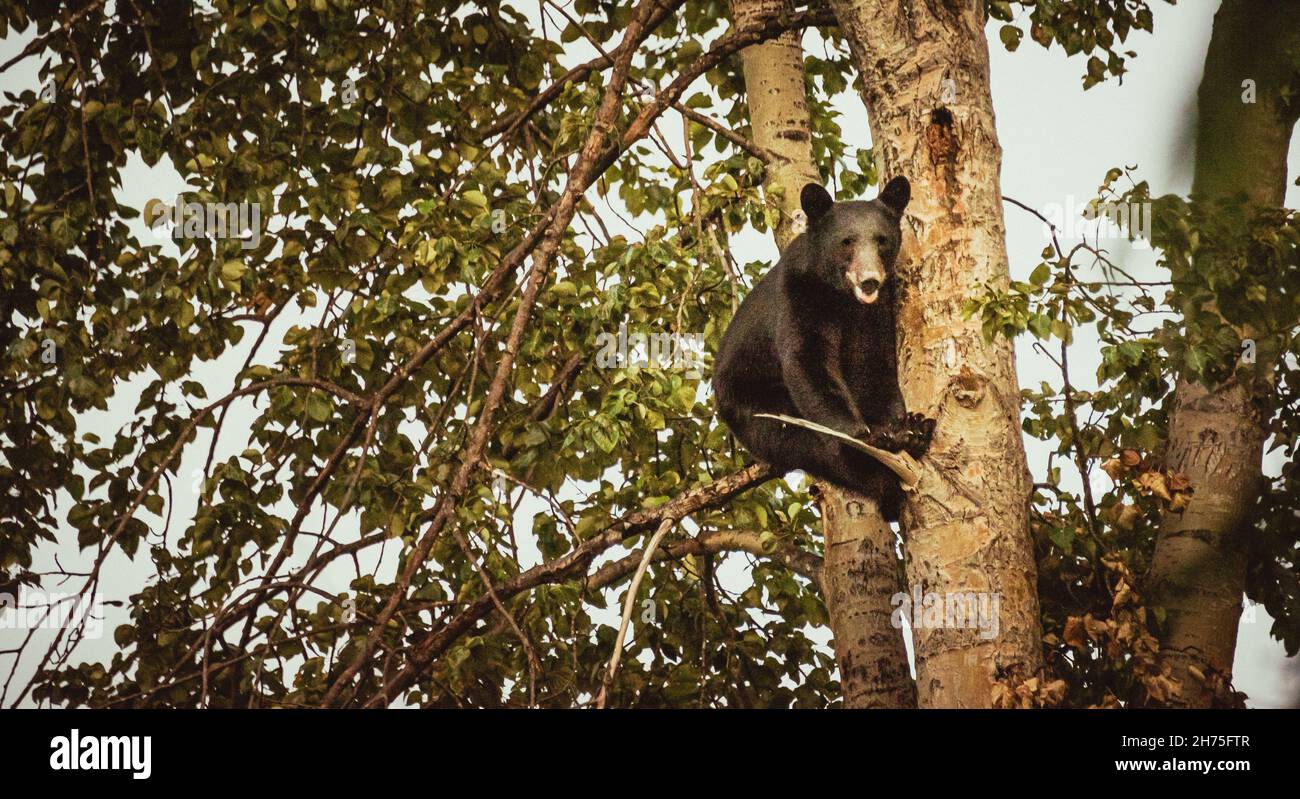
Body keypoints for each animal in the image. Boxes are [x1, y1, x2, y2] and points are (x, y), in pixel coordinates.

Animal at [712, 176, 935, 521]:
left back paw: (917, 435)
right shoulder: (800, 298)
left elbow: (874, 368)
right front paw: (868, 434)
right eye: (847, 241)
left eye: (882, 240)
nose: (869, 280)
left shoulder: (875, 314)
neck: (843, 299)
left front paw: (903, 425)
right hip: (752, 402)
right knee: (806, 443)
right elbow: (808, 360)